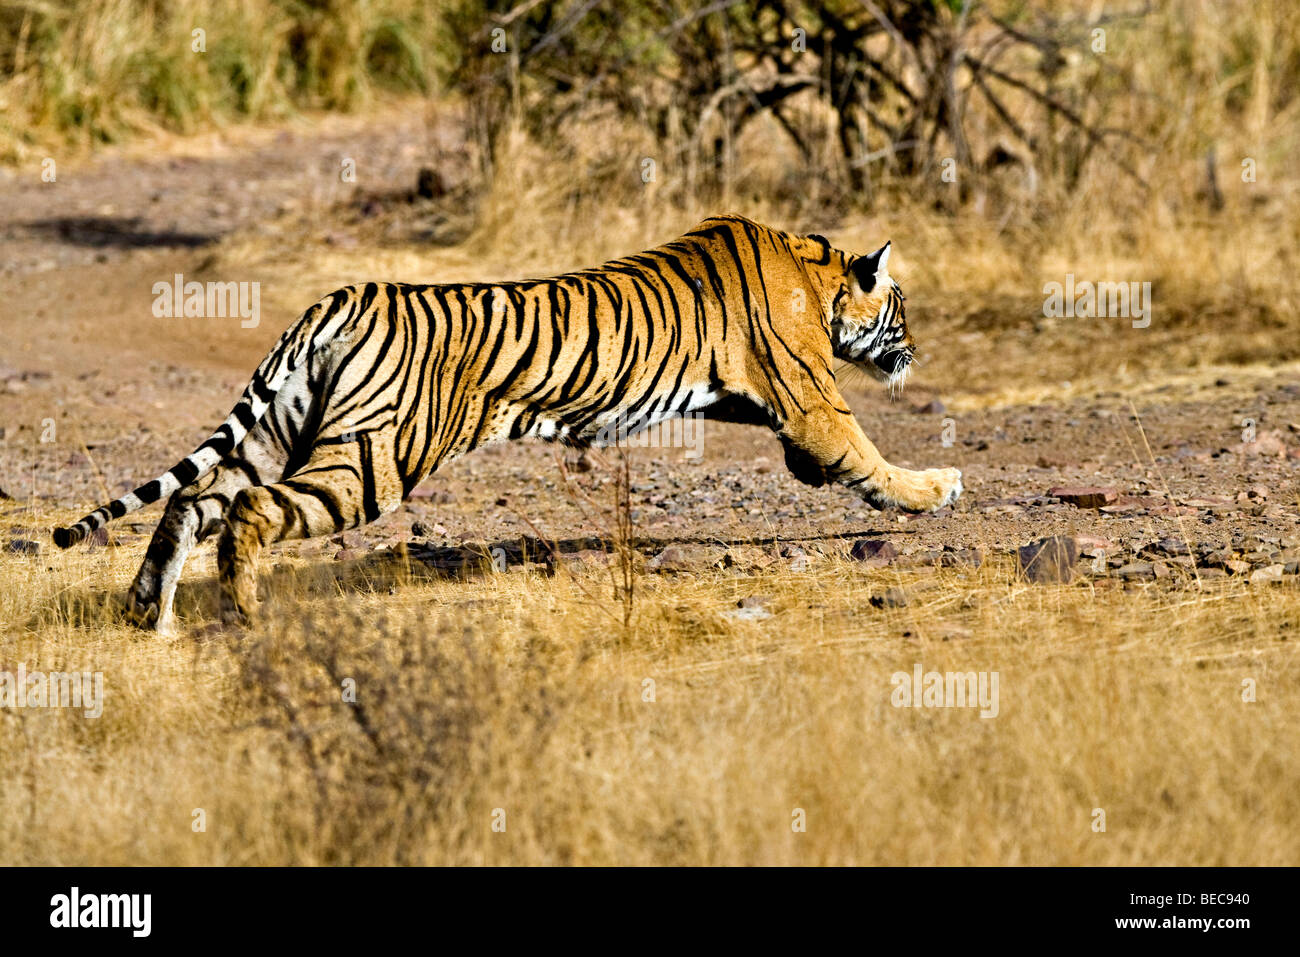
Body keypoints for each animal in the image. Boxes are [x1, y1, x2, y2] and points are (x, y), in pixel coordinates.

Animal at [53, 214, 962, 632]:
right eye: (905, 309)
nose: (918, 350)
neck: (818, 273)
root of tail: (341, 294)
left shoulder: (785, 414)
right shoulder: (814, 405)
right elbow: (871, 458)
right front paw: (941, 488)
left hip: (284, 431)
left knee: (192, 500)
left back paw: (148, 612)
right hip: (373, 458)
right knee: (247, 510)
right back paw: (246, 614)